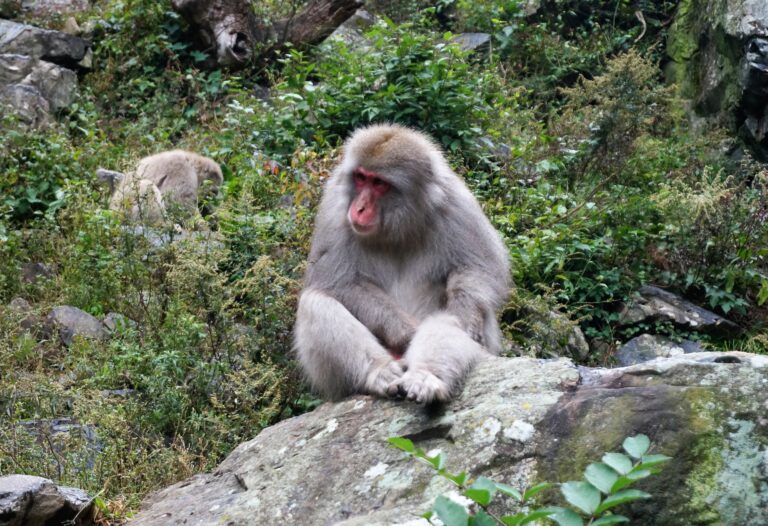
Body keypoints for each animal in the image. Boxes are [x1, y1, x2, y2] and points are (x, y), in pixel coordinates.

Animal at [294, 124, 510, 404]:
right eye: (361, 178)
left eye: (379, 183)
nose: (359, 208)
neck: (399, 225)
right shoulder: (334, 208)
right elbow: (336, 281)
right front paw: (408, 334)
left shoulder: (457, 203)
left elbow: (480, 267)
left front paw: (467, 313)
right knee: (314, 302)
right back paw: (381, 372)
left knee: (451, 319)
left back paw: (425, 376)